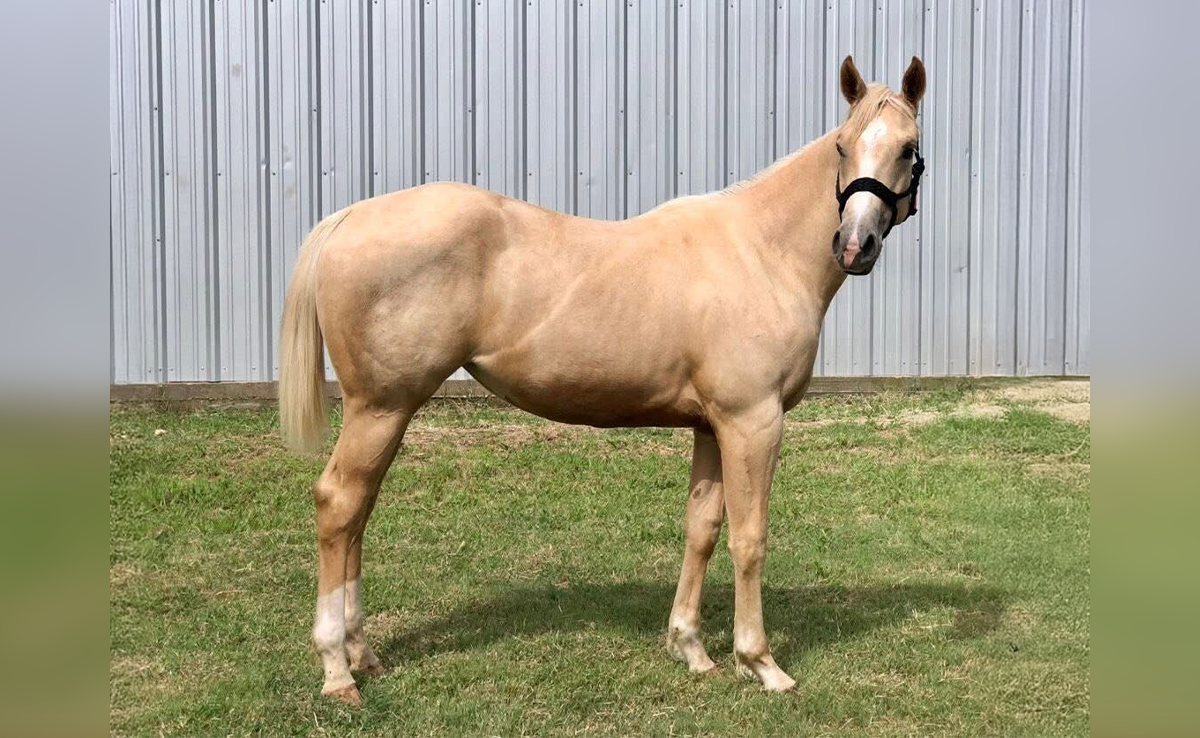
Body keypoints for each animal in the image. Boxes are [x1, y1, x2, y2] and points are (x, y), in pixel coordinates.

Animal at [279, 55, 927, 704]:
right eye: (842, 146)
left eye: (907, 148)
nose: (854, 245)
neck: (761, 251)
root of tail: (349, 217)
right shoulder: (753, 422)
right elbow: (750, 537)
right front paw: (760, 662)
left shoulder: (712, 426)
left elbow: (702, 528)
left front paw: (691, 648)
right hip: (381, 407)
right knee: (340, 503)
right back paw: (336, 670)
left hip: (386, 413)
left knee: (359, 511)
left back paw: (362, 654)